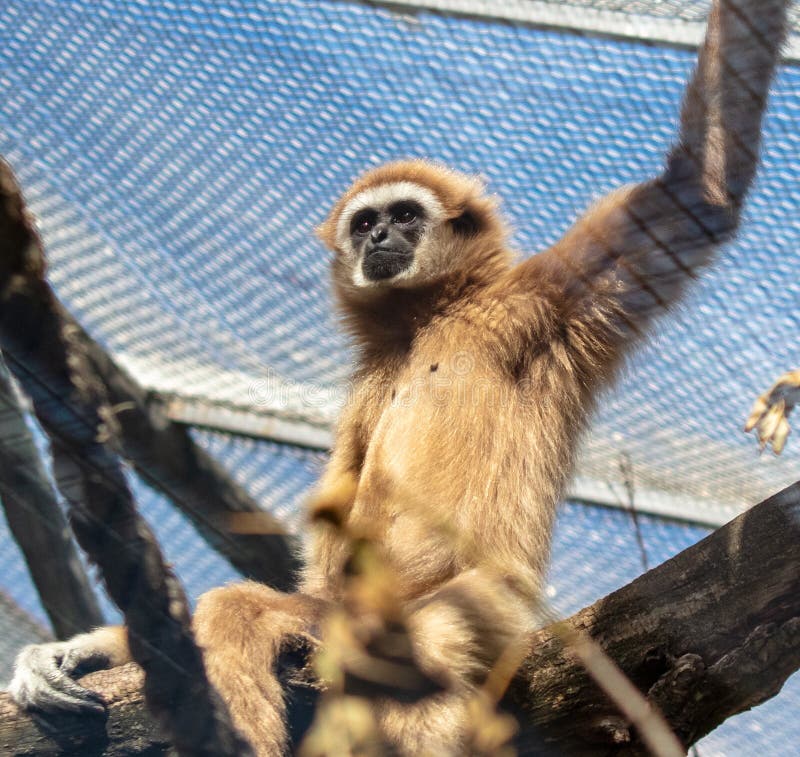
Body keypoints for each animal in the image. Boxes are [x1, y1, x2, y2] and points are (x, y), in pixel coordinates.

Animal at [9, 0, 789, 753]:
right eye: (365, 225)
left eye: (407, 215)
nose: (382, 237)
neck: (426, 321)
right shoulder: (372, 379)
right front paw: (79, 650)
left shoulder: (536, 303)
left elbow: (699, 193)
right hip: (334, 609)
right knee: (241, 609)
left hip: (481, 604)